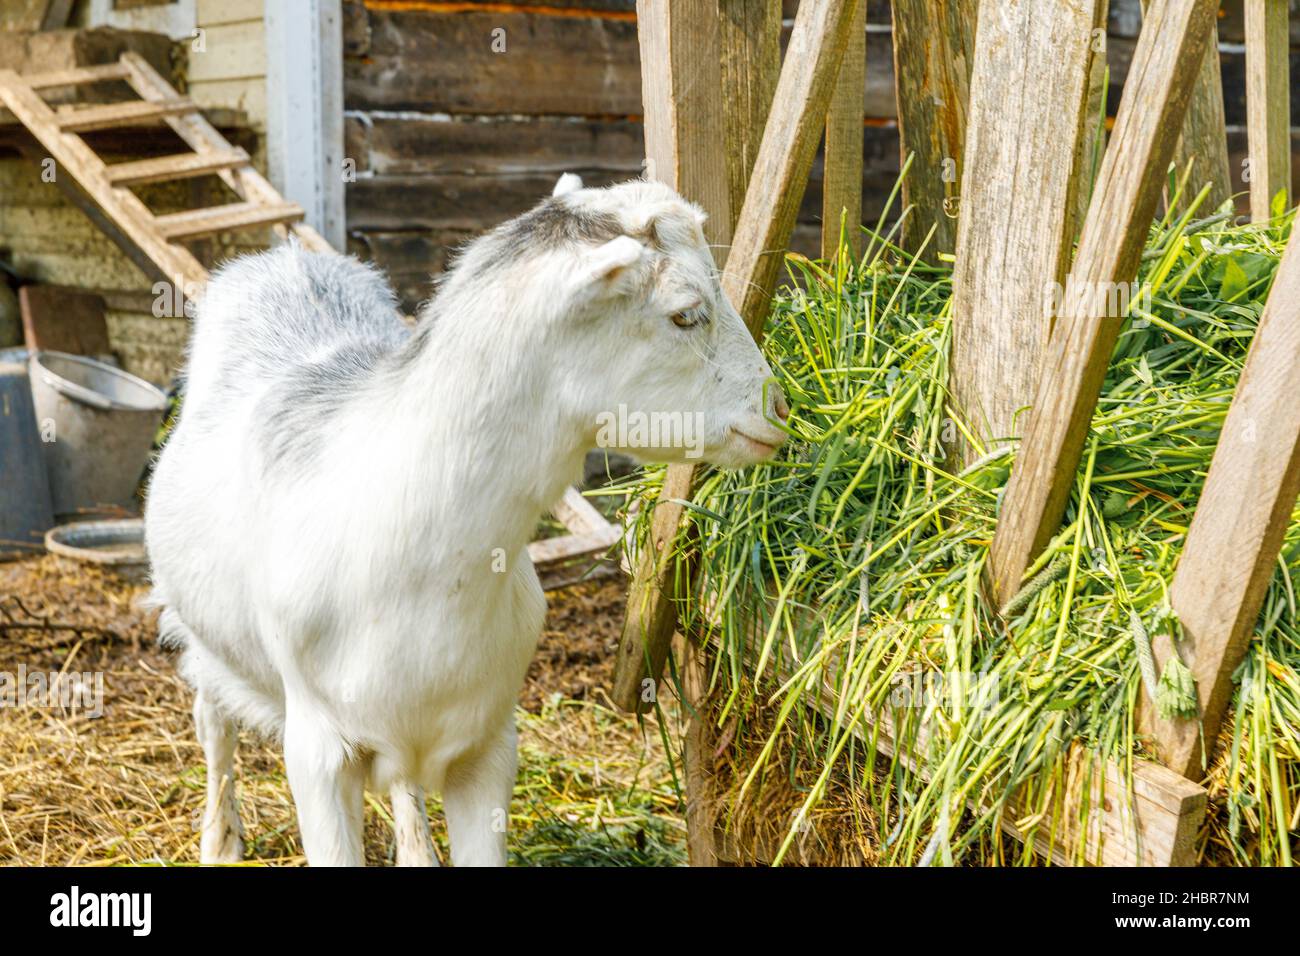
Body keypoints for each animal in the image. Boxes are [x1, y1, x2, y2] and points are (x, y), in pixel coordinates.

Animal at [144, 175, 789, 866]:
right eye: (686, 313)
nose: (779, 408)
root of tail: (285, 258)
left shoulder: (489, 744)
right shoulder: (317, 753)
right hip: (204, 631)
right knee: (213, 717)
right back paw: (220, 839)